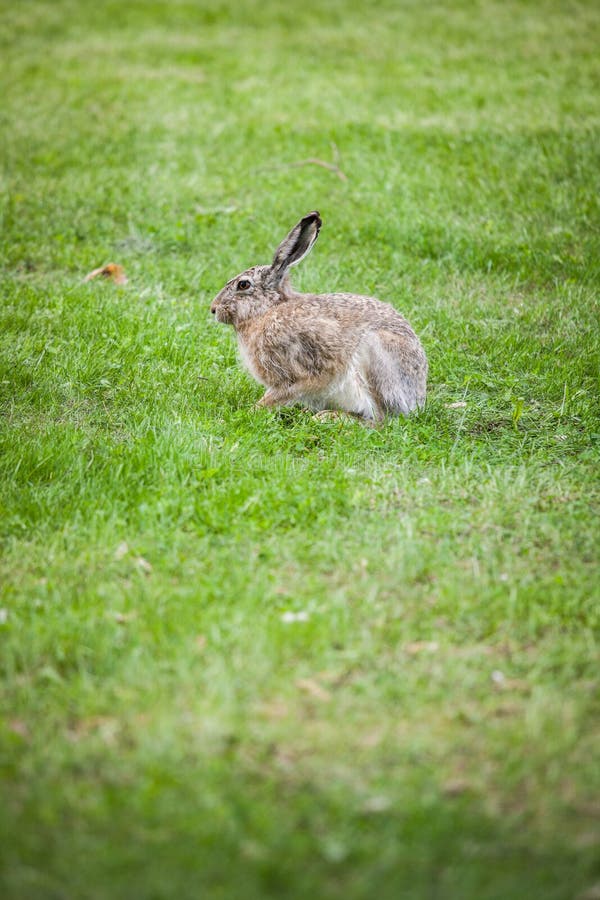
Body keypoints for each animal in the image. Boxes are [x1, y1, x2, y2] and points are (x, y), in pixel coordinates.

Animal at [210, 211, 427, 422]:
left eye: (243, 285)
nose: (213, 308)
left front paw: (251, 411)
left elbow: (278, 395)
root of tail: (417, 398)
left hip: (375, 356)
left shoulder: (297, 373)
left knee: (381, 419)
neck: (267, 311)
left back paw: (328, 417)